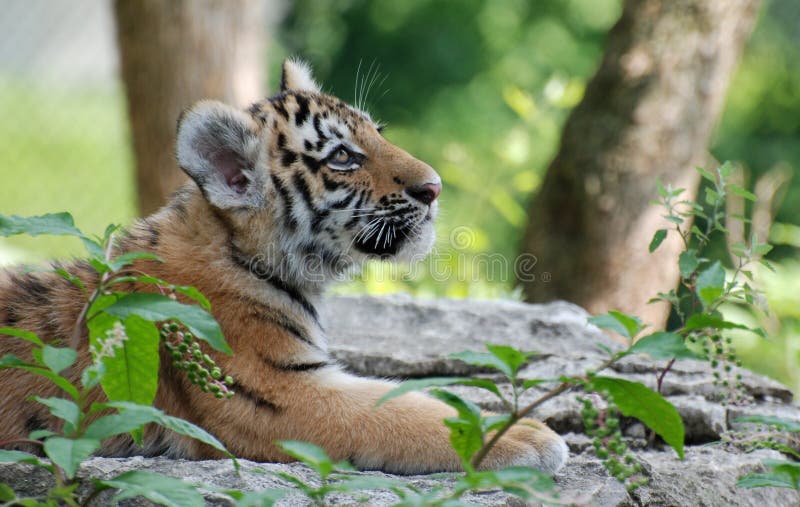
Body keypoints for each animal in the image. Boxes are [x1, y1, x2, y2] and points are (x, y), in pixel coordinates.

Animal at [0, 59, 567, 475]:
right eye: (343, 157)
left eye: (378, 132)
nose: (435, 187)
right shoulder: (284, 395)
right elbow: (405, 409)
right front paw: (527, 436)